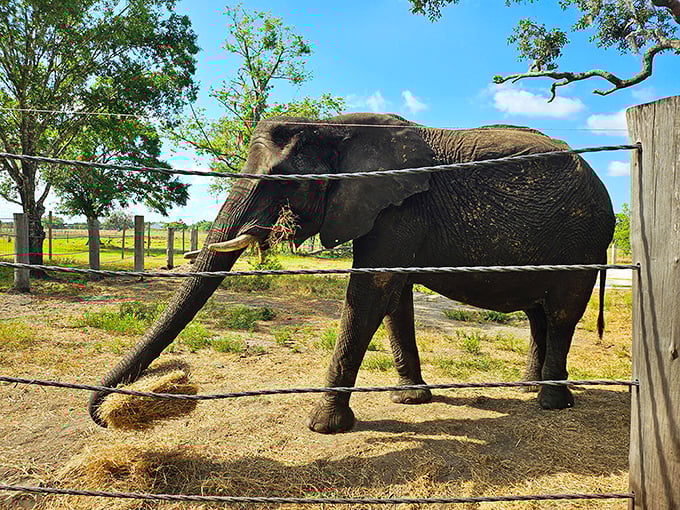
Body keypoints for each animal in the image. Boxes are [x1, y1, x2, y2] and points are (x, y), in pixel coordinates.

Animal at [88, 112, 615, 434]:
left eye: (284, 183)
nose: (105, 418)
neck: (337, 128)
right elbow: (394, 297)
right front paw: (410, 400)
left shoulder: (400, 210)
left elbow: (369, 293)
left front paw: (324, 426)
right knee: (538, 313)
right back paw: (530, 389)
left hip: (583, 240)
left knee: (562, 312)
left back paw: (552, 402)